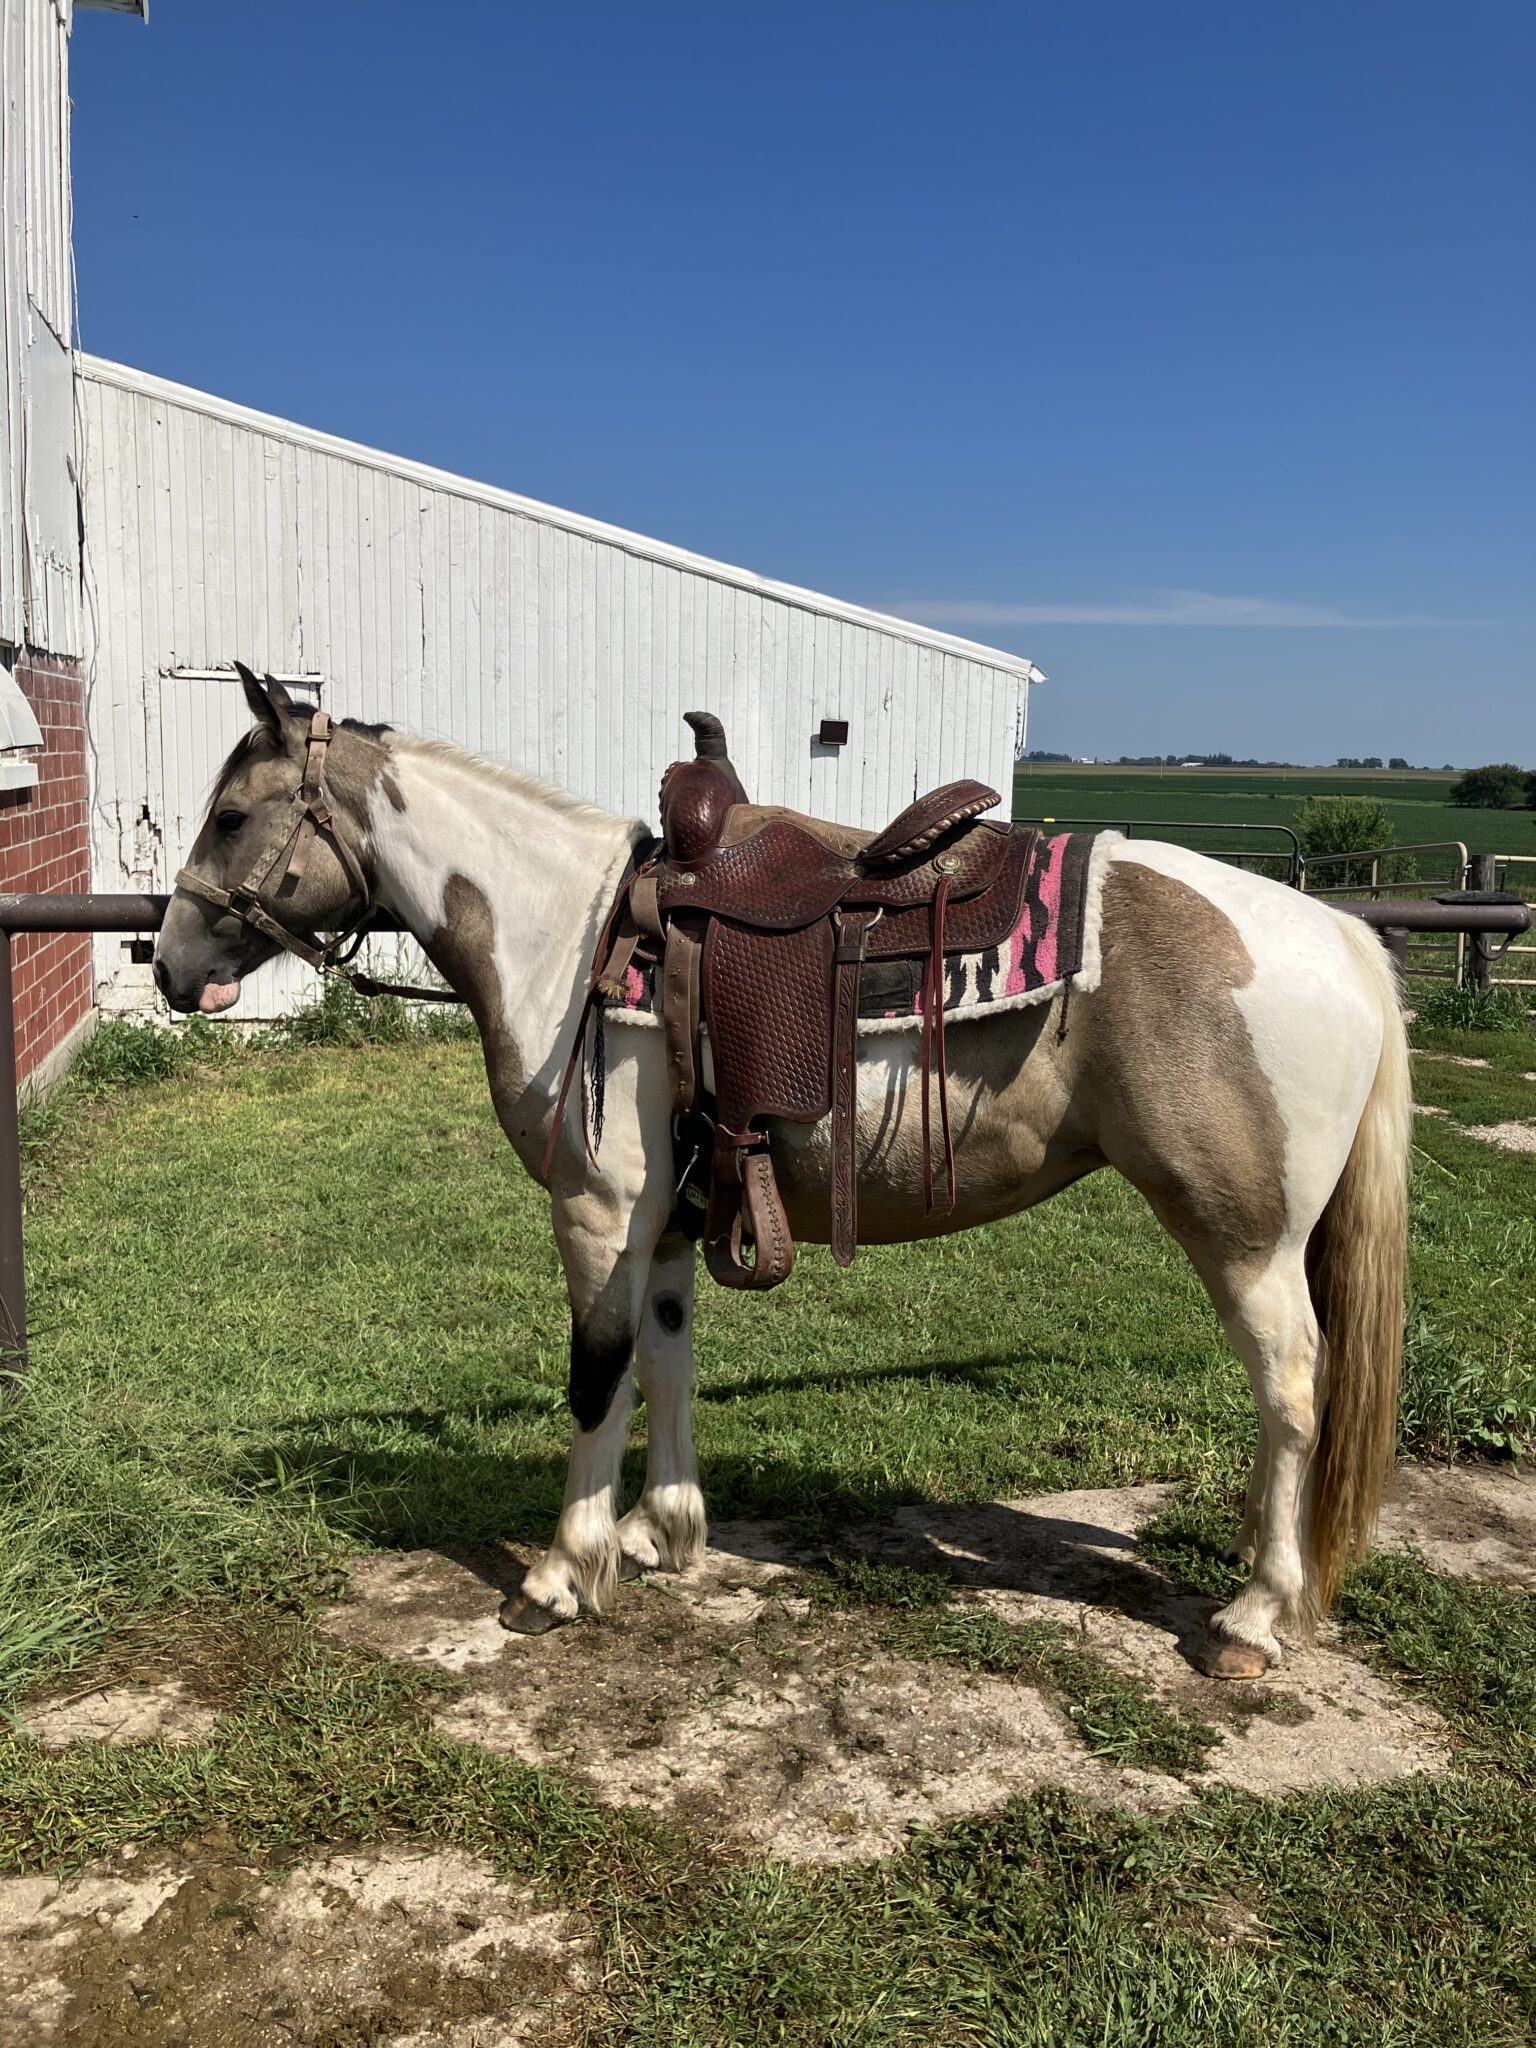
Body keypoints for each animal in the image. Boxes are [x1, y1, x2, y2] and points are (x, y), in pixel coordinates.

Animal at [154, 668, 1411, 1680]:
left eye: (231, 815)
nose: (167, 964)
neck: (569, 936)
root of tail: (1342, 936)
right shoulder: (666, 1220)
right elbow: (666, 1360)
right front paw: (664, 1530)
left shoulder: (597, 1213)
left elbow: (597, 1378)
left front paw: (563, 1573)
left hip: (1244, 1235)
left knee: (1293, 1388)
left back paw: (1255, 1614)